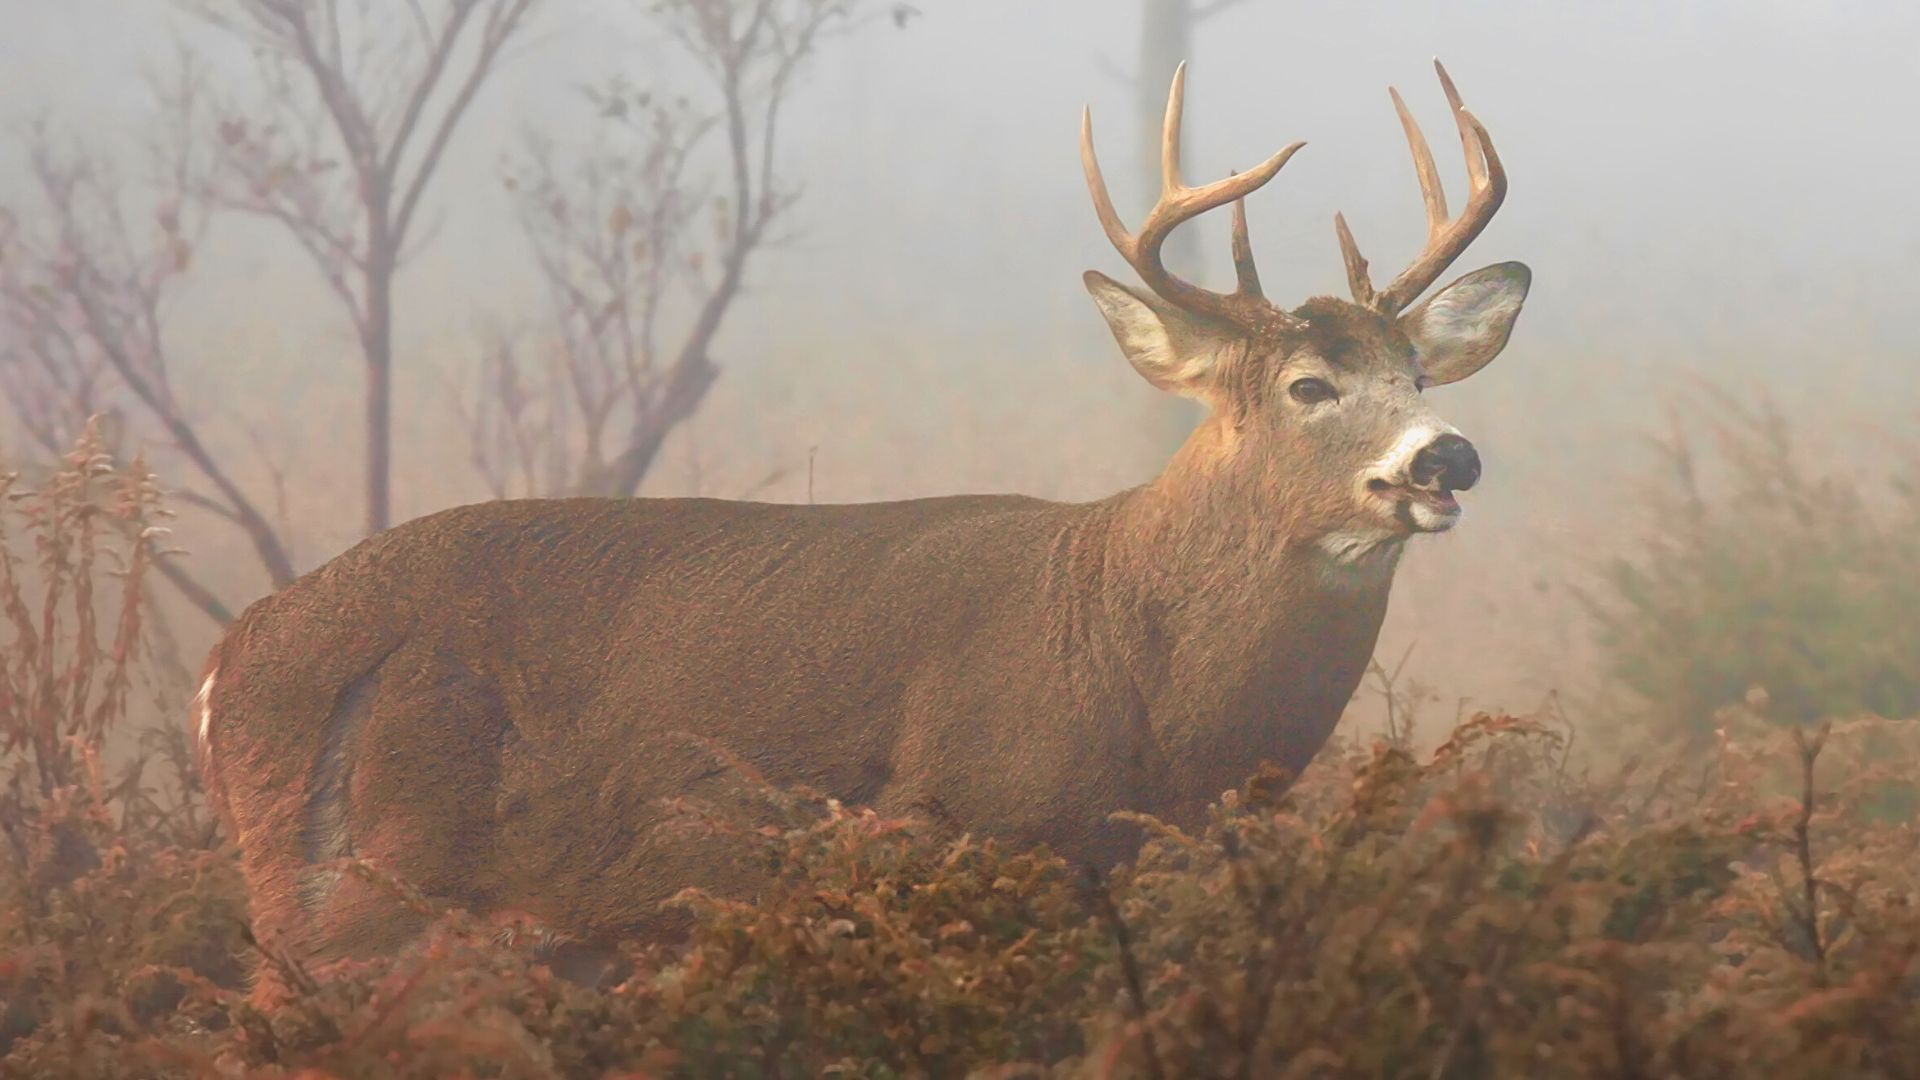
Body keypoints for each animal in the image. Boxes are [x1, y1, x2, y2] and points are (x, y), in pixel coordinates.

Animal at [196, 60, 1530, 1000]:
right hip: (354, 893)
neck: (1132, 655)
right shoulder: (965, 830)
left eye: (1417, 371)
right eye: (1309, 385)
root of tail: (231, 655)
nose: (1446, 454)